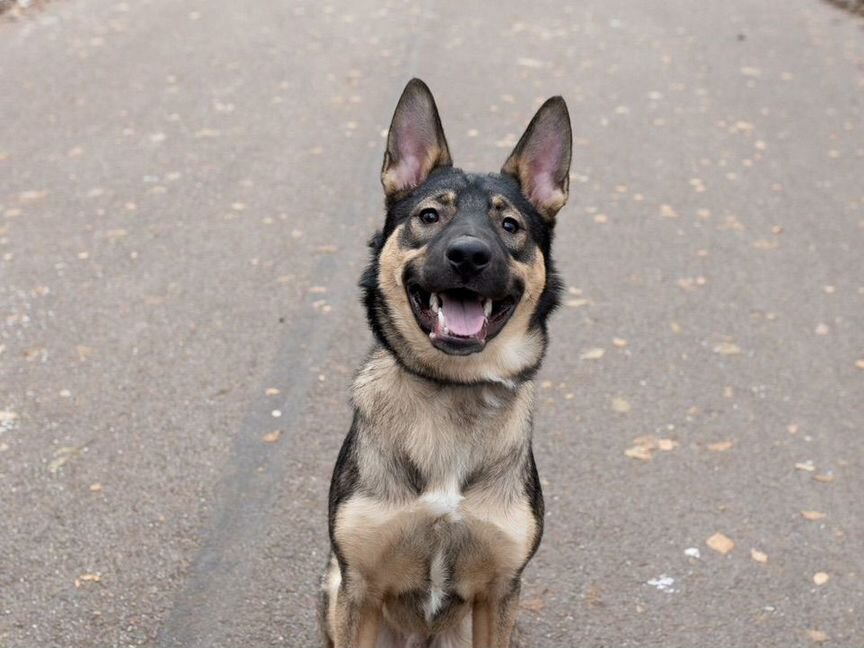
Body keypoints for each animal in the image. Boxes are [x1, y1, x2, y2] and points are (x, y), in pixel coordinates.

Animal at [320, 77, 572, 648]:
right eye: (430, 216)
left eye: (510, 225)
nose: (469, 255)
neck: (452, 390)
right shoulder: (358, 586)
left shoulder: (499, 593)